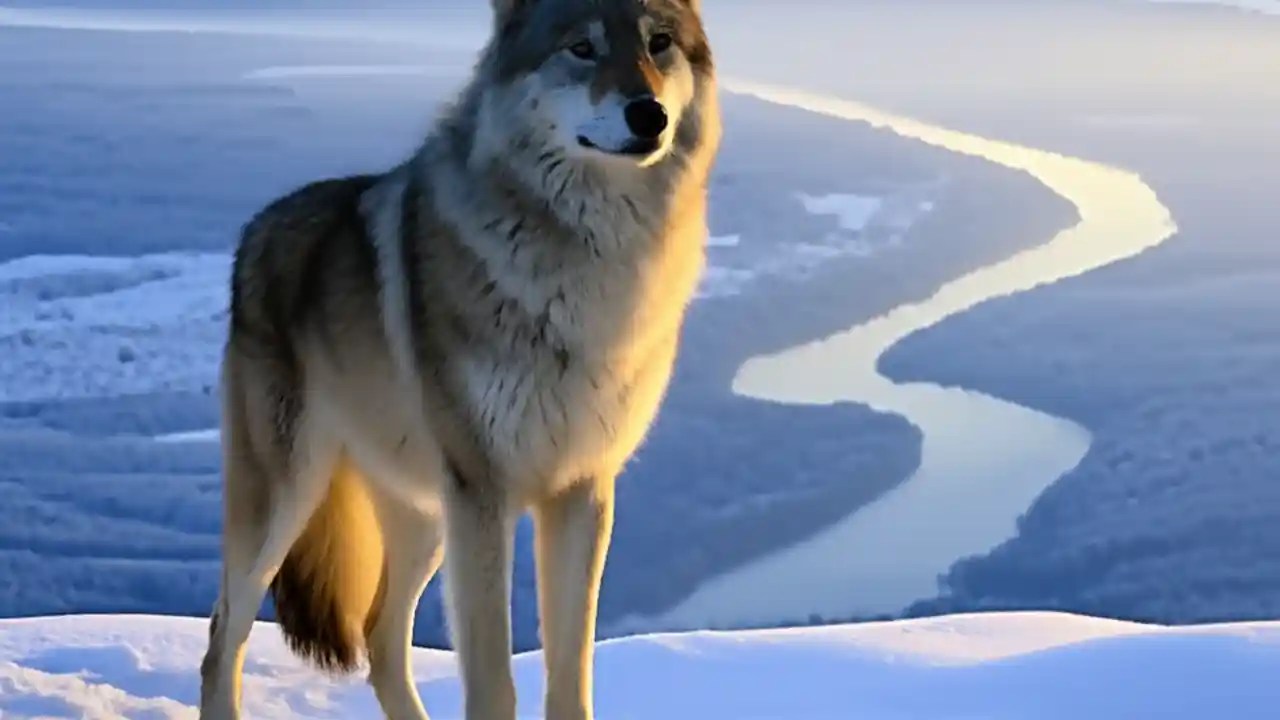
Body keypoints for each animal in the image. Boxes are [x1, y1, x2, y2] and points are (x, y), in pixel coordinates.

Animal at [198, 0, 720, 718]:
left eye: (658, 44)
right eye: (581, 48)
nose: (649, 114)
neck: (586, 273)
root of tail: (252, 232)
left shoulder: (582, 492)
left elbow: (570, 675)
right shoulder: (484, 495)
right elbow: (495, 680)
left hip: (425, 521)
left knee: (379, 639)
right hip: (287, 504)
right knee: (224, 638)